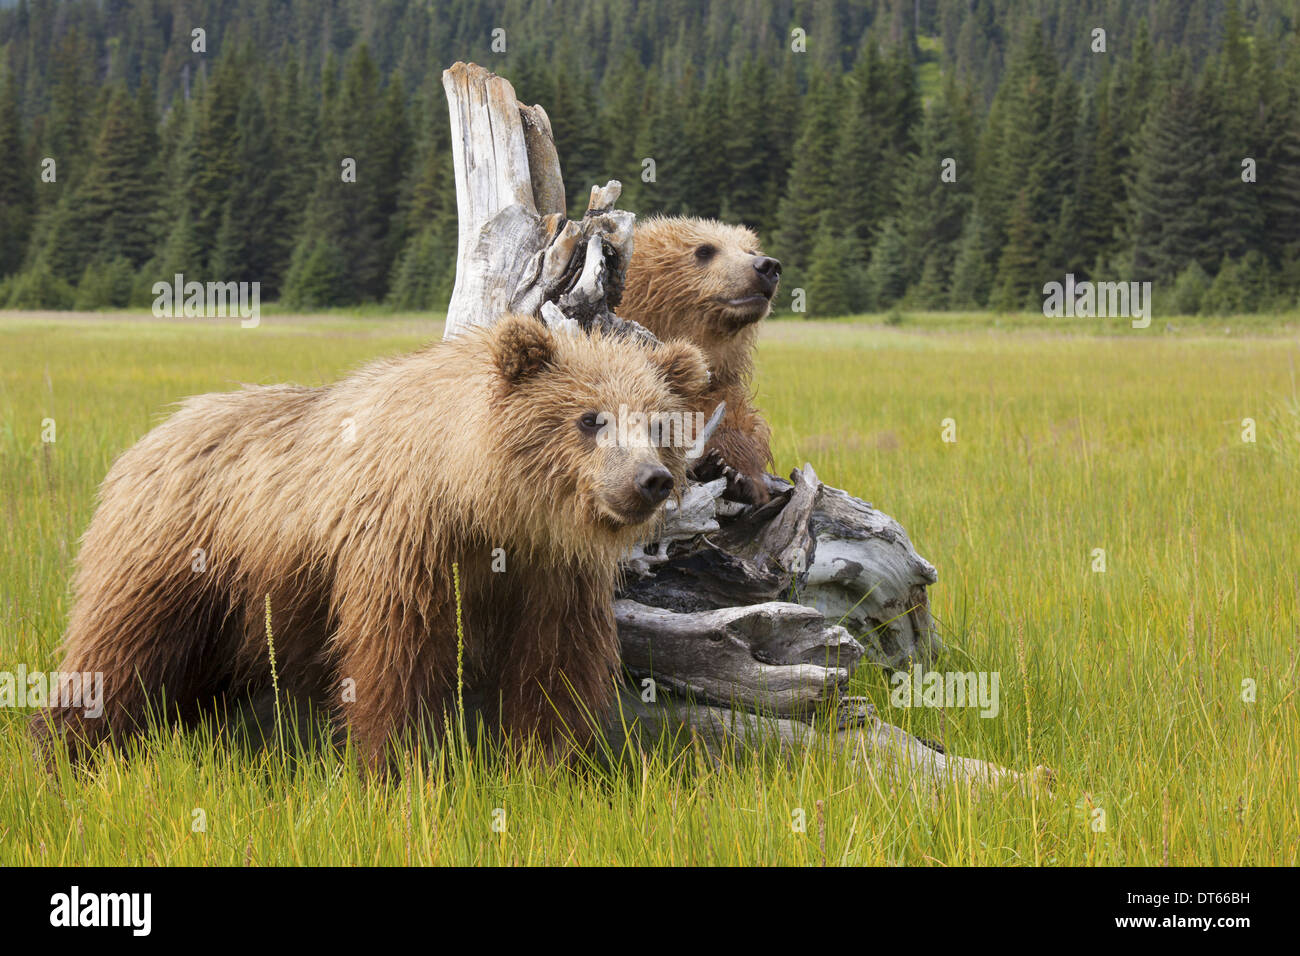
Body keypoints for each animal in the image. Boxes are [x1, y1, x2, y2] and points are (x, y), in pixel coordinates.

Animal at [34, 315, 710, 770]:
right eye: (590, 418)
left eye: (659, 422)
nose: (650, 479)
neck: (484, 504)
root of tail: (148, 436)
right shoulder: (406, 542)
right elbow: (396, 657)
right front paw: (398, 765)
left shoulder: (549, 571)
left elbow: (554, 667)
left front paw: (547, 766)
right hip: (174, 558)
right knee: (121, 652)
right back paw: (65, 748)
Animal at [618, 216, 781, 505]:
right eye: (704, 250)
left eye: (750, 250)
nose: (767, 266)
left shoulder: (719, 389)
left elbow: (738, 427)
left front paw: (734, 473)